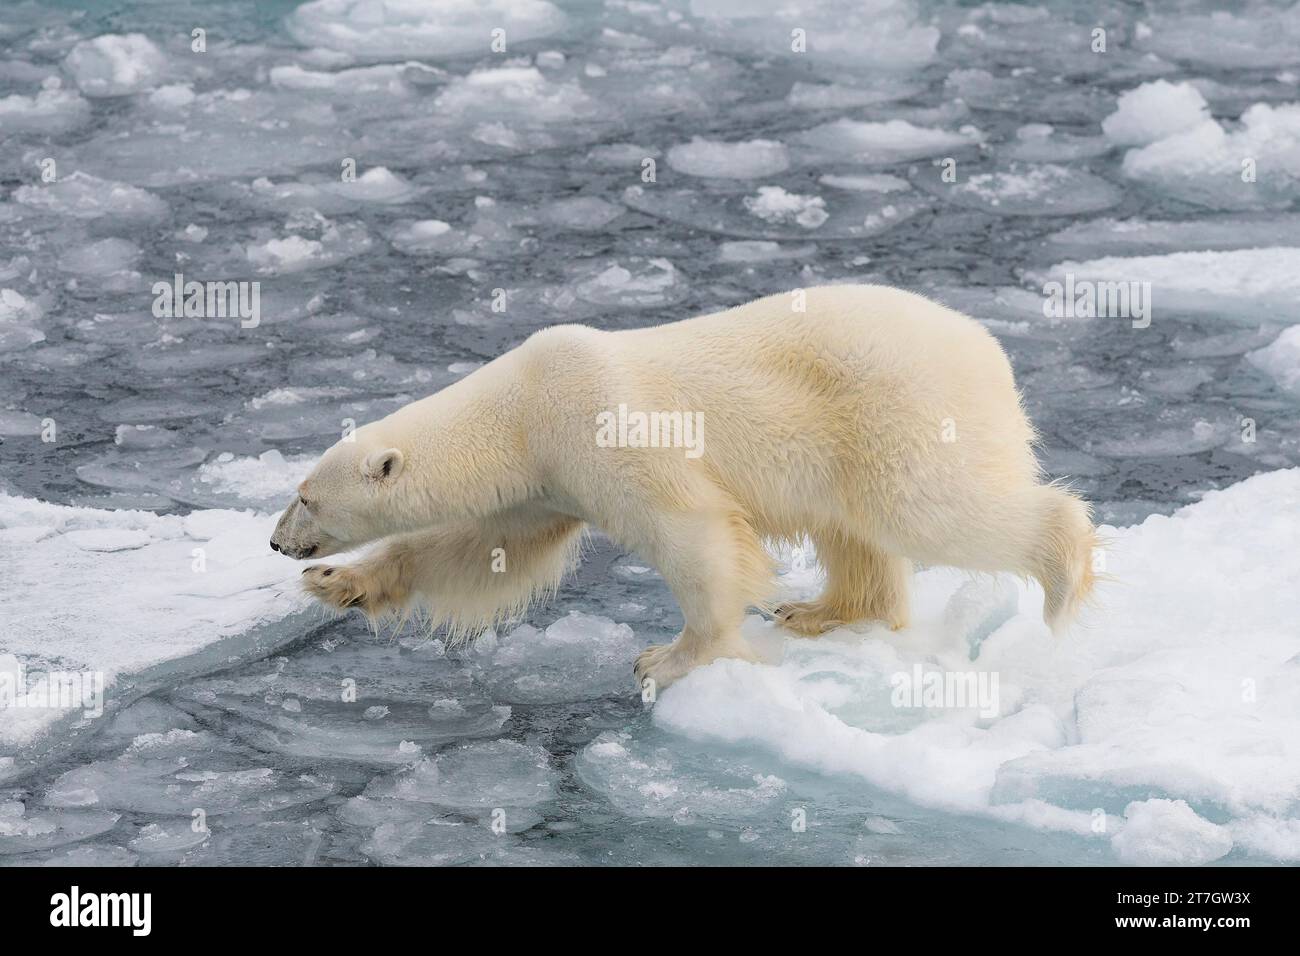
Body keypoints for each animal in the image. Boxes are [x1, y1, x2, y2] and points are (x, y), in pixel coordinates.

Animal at [270, 284, 1097, 689]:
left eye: (306, 495)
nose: (278, 542)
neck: (523, 409)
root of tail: (989, 350)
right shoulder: (545, 479)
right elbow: (483, 549)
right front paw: (338, 583)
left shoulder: (602, 426)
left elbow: (690, 533)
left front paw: (666, 659)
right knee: (856, 530)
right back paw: (820, 611)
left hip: (897, 406)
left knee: (933, 508)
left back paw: (1064, 581)